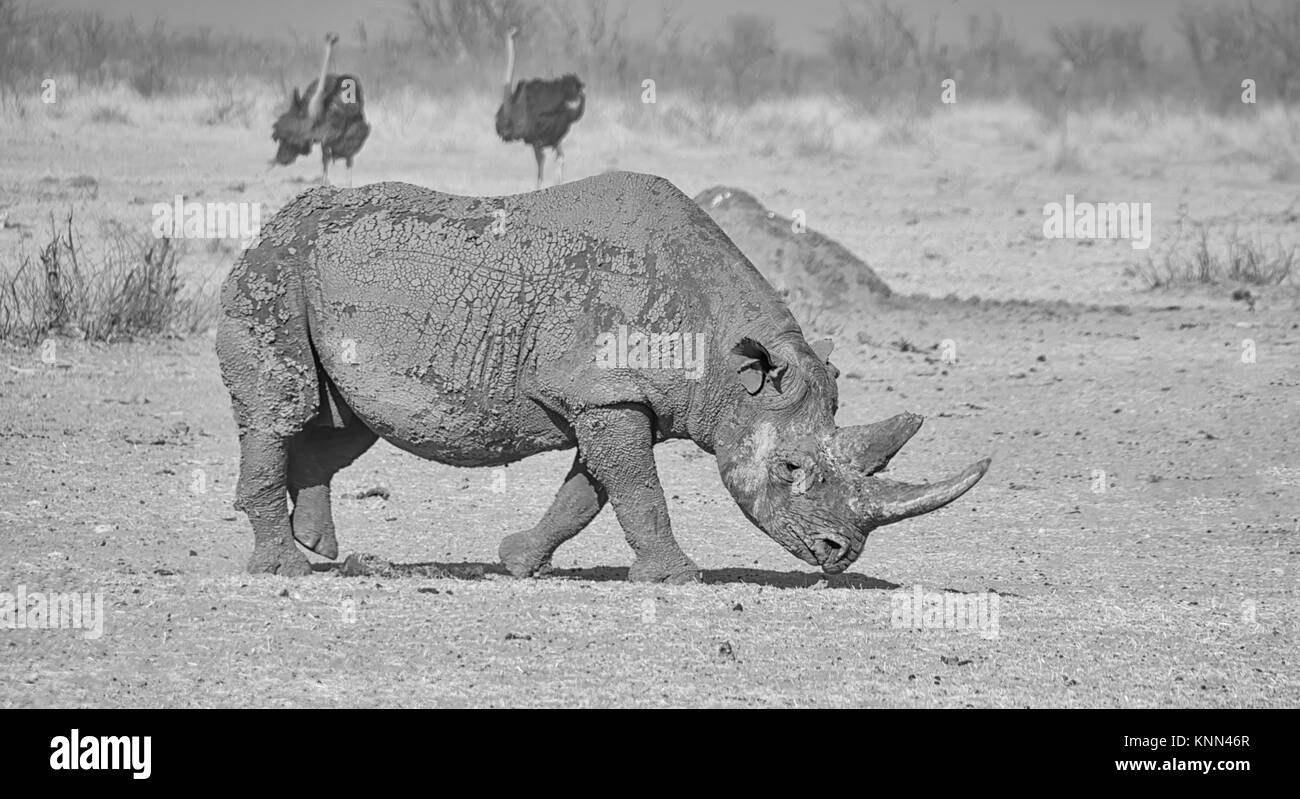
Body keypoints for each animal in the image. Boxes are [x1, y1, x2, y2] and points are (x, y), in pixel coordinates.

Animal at [216, 171, 989, 583]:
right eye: (792, 468)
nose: (840, 554)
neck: (727, 363)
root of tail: (269, 221)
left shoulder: (608, 399)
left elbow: (588, 493)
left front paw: (518, 562)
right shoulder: (604, 394)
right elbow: (638, 491)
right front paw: (680, 577)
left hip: (319, 281)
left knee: (340, 426)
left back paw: (320, 548)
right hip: (278, 269)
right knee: (284, 410)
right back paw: (284, 567)